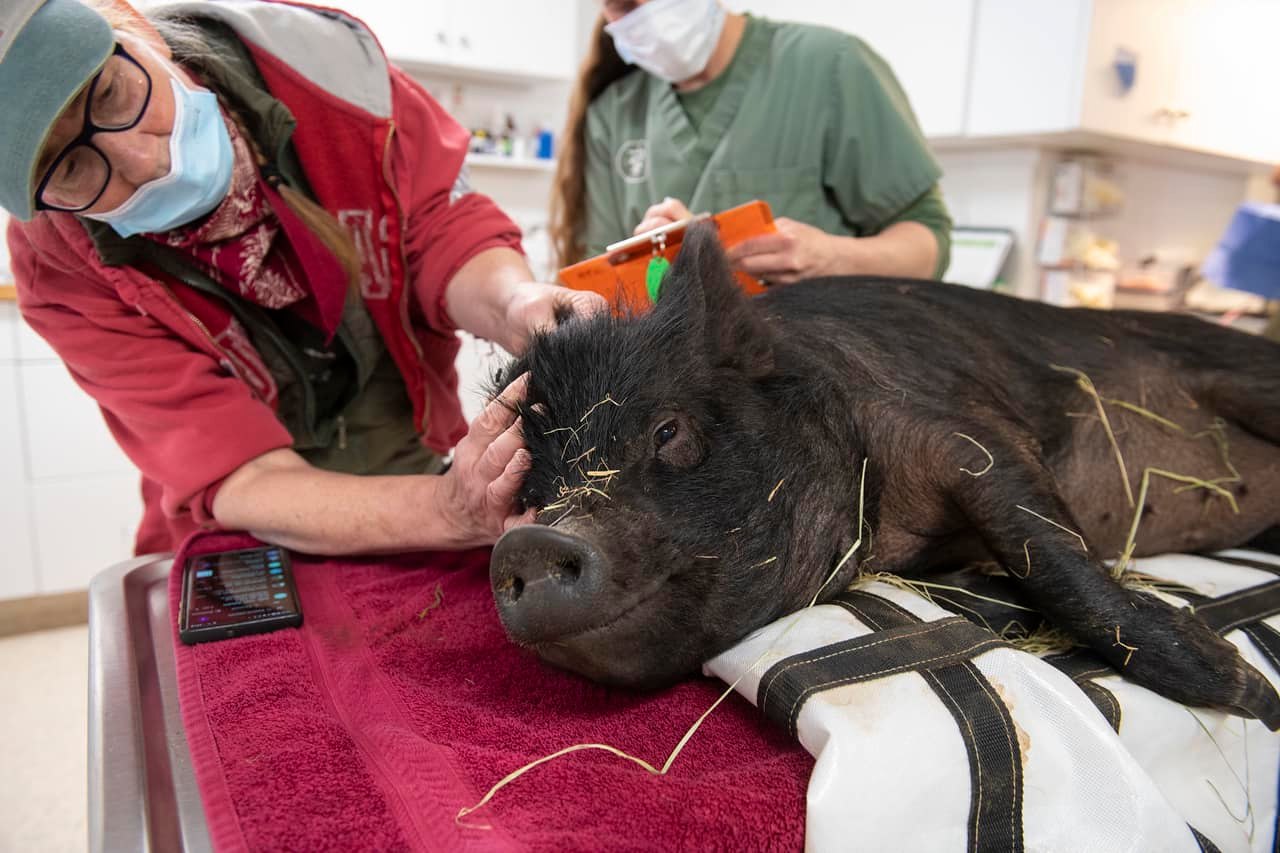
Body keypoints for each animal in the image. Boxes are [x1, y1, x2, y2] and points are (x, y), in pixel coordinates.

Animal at [489, 222, 1280, 727]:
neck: (886, 526)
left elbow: (1045, 548)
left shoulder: (966, 429)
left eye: (668, 429)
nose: (527, 543)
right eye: (535, 490)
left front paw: (1249, 695)